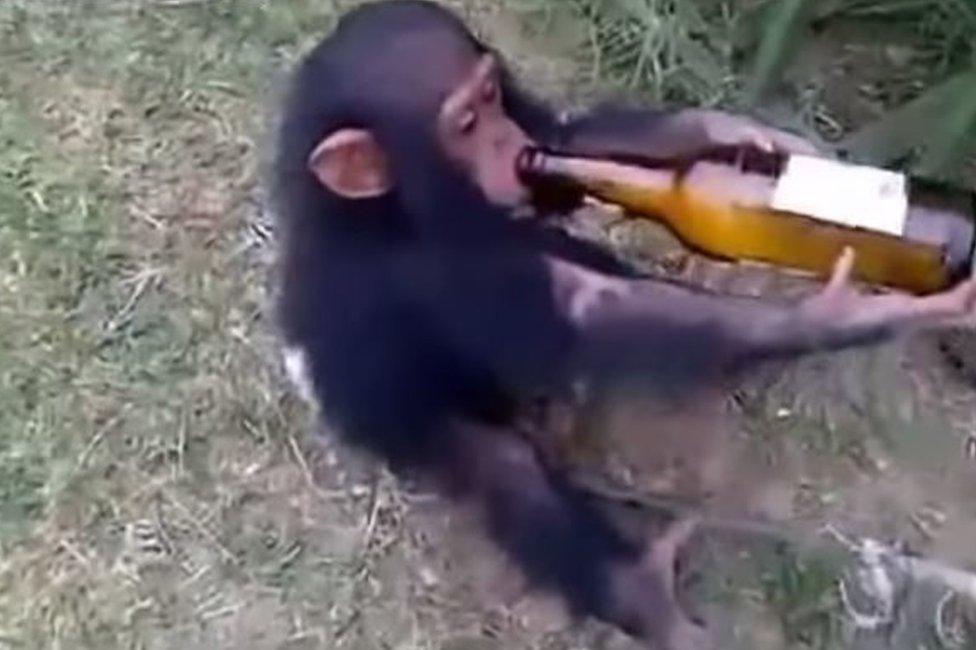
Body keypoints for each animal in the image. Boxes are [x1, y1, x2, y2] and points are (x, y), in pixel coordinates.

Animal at [270, 2, 976, 648]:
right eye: (465, 124)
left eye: (493, 97)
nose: (507, 144)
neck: (390, 210)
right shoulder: (429, 277)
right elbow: (594, 315)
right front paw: (843, 314)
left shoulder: (542, 165)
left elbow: (566, 147)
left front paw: (731, 135)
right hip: (411, 427)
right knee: (512, 477)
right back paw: (647, 595)